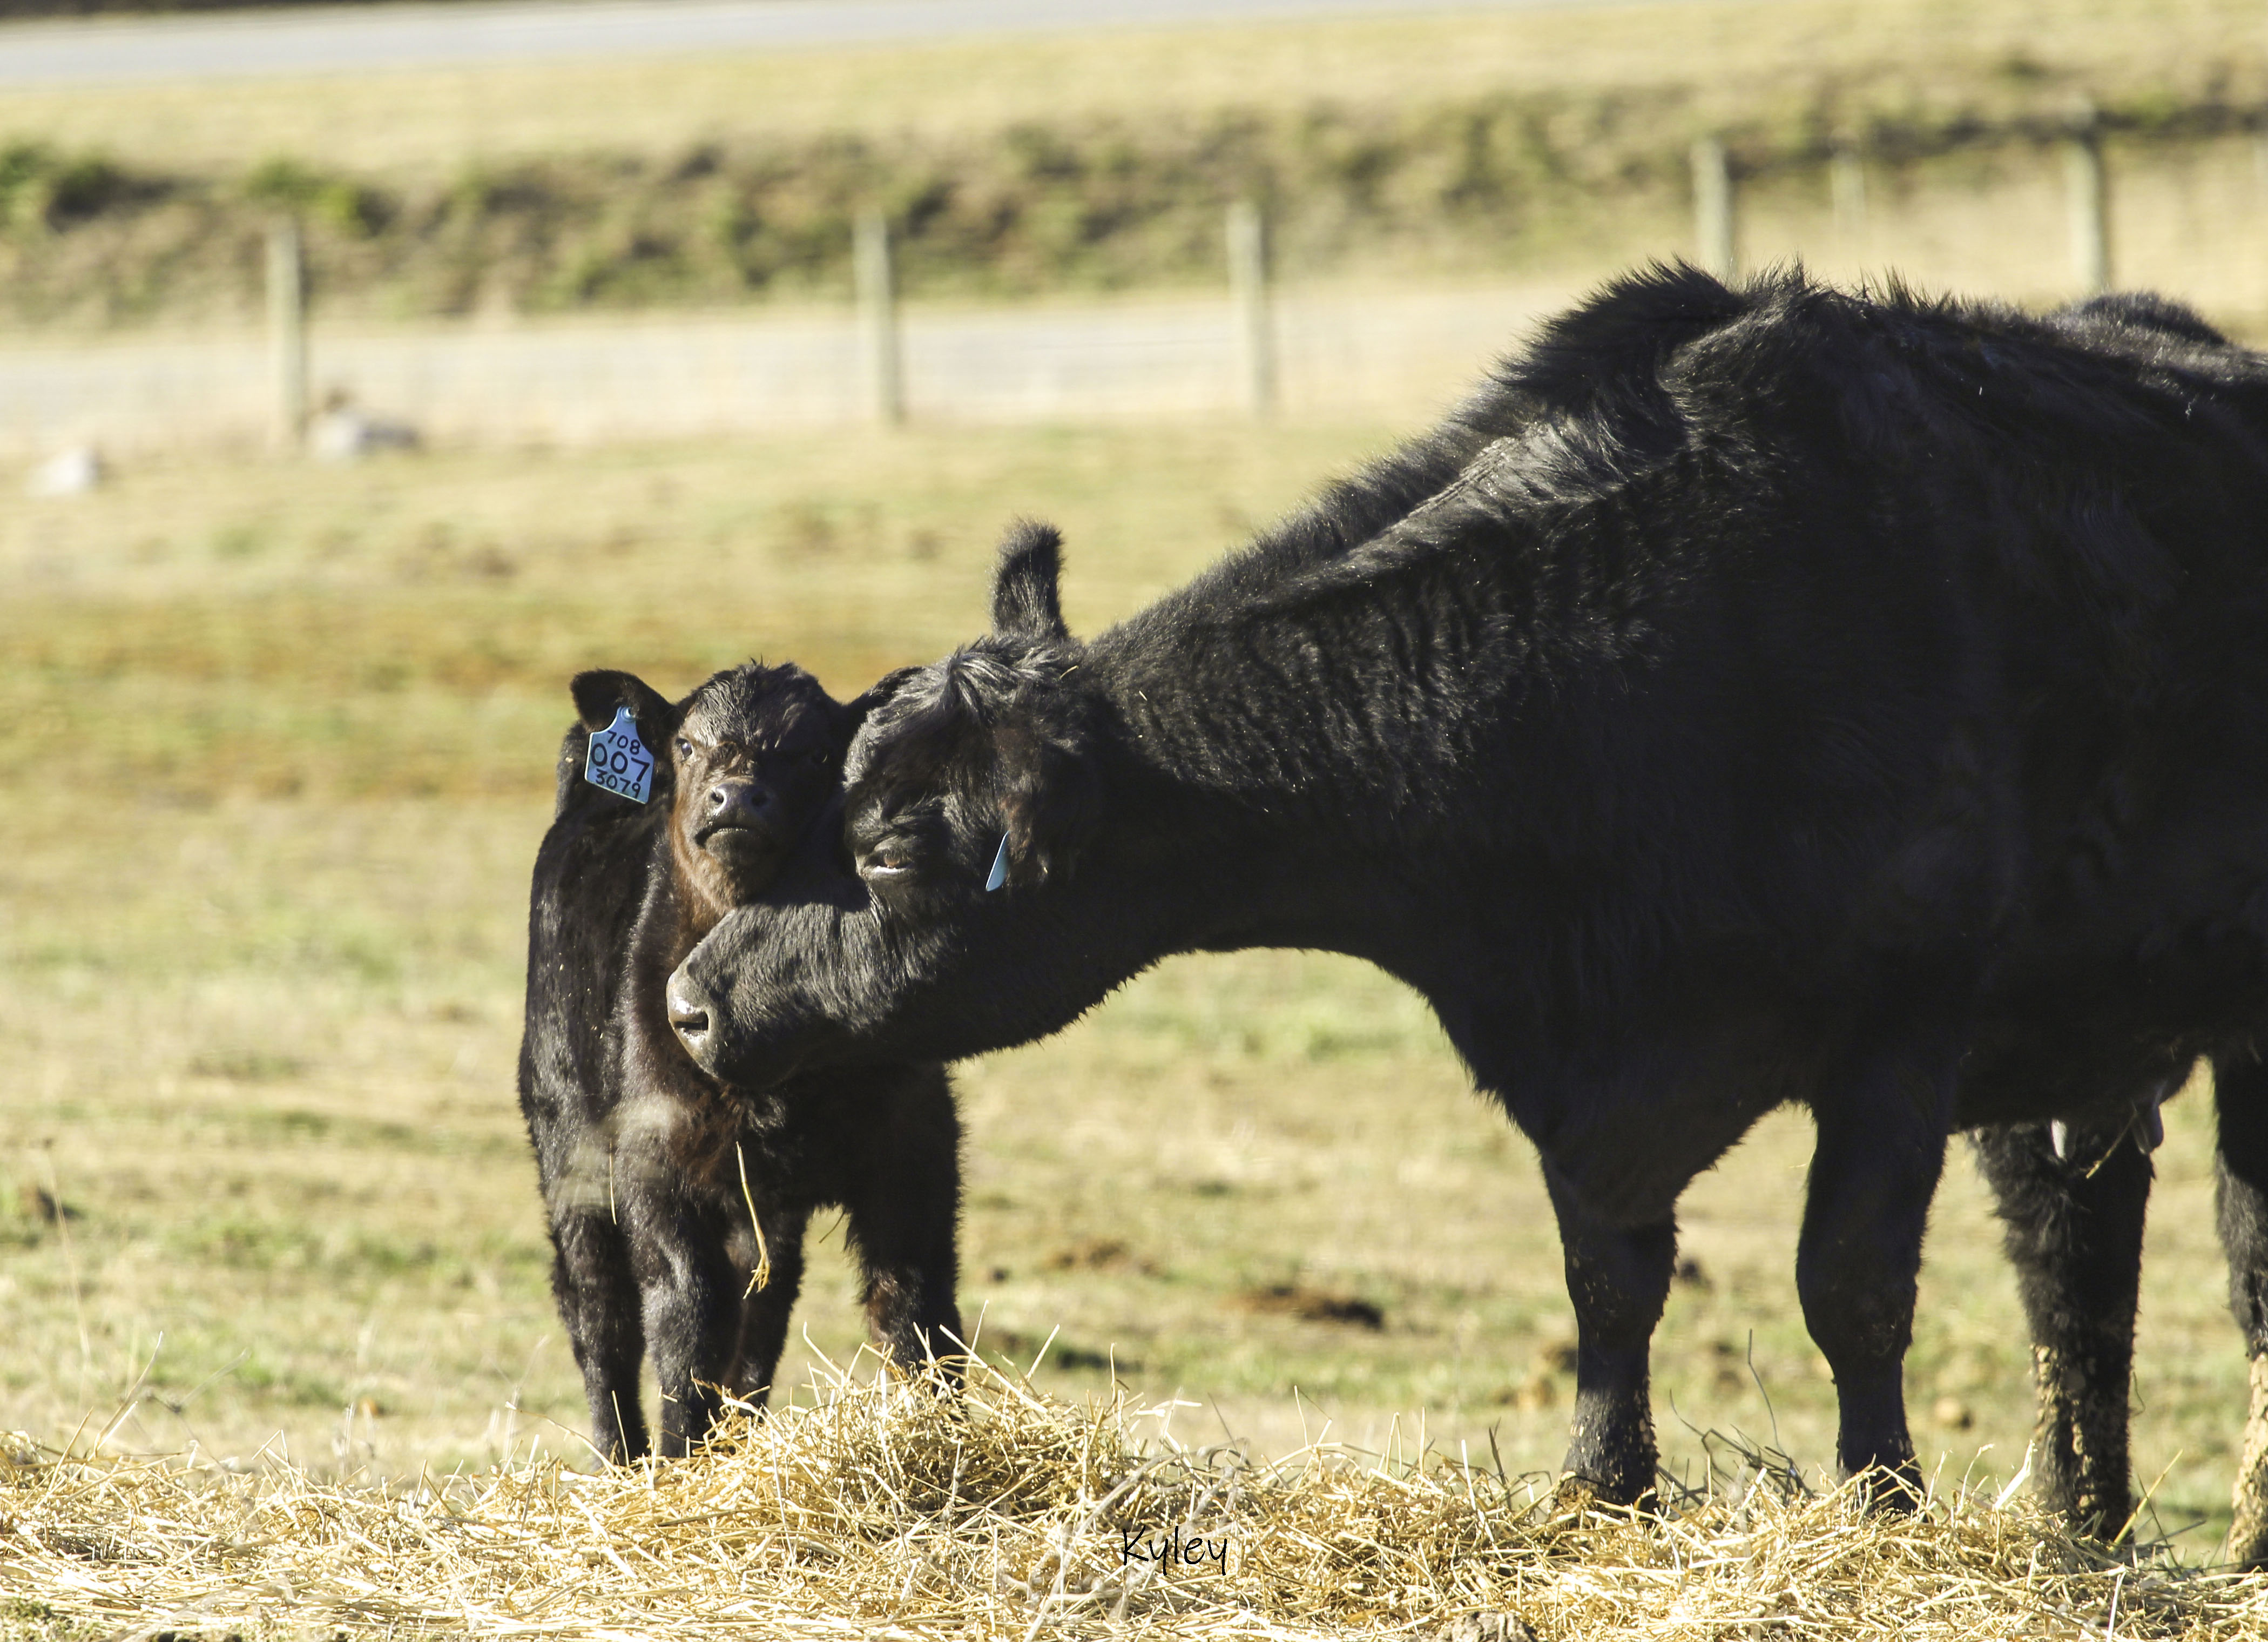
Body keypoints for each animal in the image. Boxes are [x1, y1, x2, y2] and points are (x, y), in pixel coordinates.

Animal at [517, 660, 962, 1463]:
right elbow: (685, 1321)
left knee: (763, 1311)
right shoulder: (654, 1161)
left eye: (816, 754)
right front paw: (679, 1460)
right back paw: (619, 1459)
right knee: (599, 1313)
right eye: (689, 744)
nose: (737, 797)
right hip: (568, 1148)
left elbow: (915, 1309)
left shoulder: (914, 1144)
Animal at [662, 267, 2268, 1553]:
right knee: (2076, 1259)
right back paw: (2081, 1520)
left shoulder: (1902, 1033)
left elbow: (1849, 1284)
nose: (693, 996)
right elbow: (1610, 1284)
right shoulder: (1582, 1079)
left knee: (2240, 1261)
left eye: (885, 849)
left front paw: (1880, 1508)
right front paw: (1603, 1489)